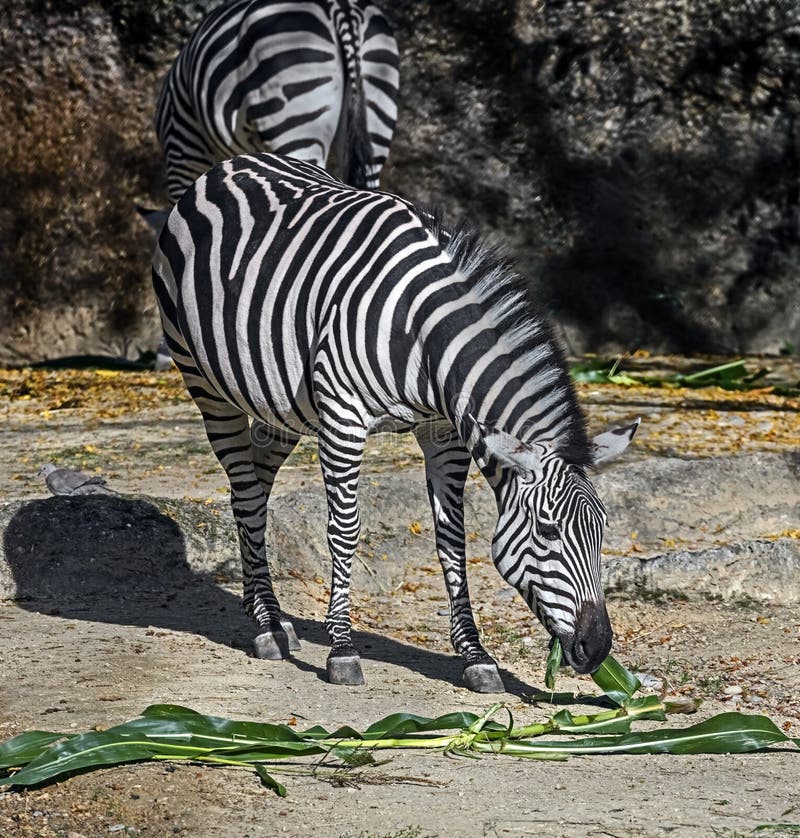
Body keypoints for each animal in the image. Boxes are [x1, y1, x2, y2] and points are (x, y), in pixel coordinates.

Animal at [152, 152, 639, 693]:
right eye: (549, 531)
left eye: (603, 531)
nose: (597, 650)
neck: (427, 340)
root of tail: (233, 162)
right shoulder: (343, 417)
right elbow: (344, 531)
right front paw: (342, 649)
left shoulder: (445, 433)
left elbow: (451, 540)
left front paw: (476, 656)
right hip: (207, 386)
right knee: (244, 493)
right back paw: (266, 627)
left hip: (279, 408)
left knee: (253, 494)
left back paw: (269, 615)